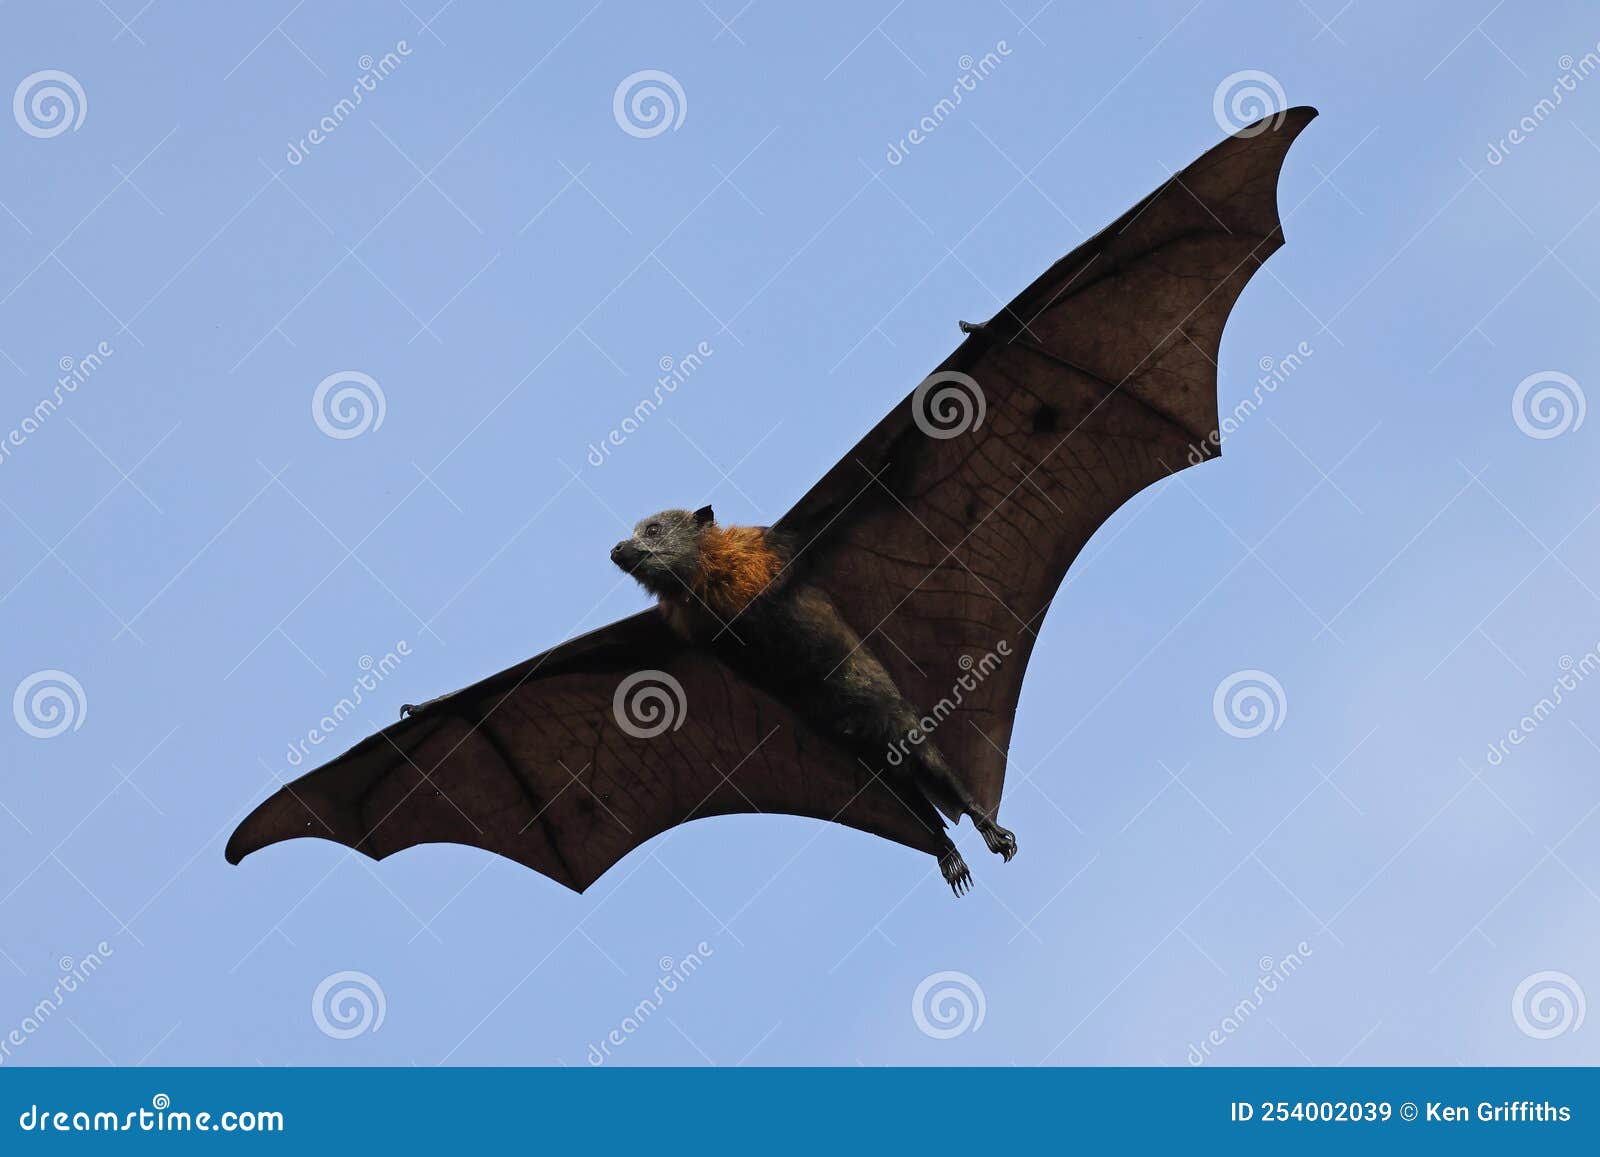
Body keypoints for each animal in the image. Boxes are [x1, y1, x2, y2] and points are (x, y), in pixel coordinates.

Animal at [609, 504, 1017, 895]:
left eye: (654, 530)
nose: (617, 548)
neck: (707, 581)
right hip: (868, 758)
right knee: (903, 792)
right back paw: (947, 854)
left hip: (898, 720)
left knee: (929, 760)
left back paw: (990, 830)